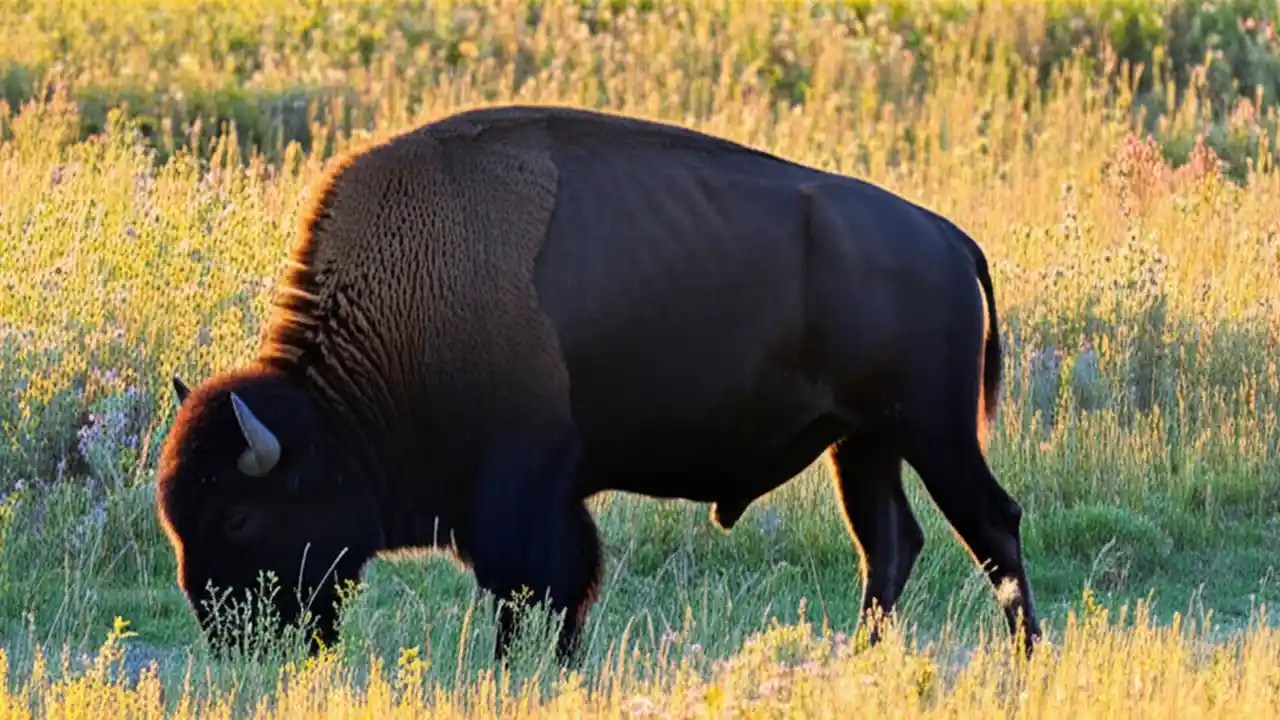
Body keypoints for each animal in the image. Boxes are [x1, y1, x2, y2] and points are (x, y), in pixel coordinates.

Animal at [156, 104, 1040, 663]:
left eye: (236, 514)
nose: (230, 638)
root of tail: (947, 237)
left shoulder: (521, 489)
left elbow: (536, 585)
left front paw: (521, 667)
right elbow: (559, 588)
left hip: (934, 433)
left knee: (992, 525)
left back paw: (1026, 658)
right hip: (862, 443)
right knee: (889, 543)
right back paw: (863, 658)